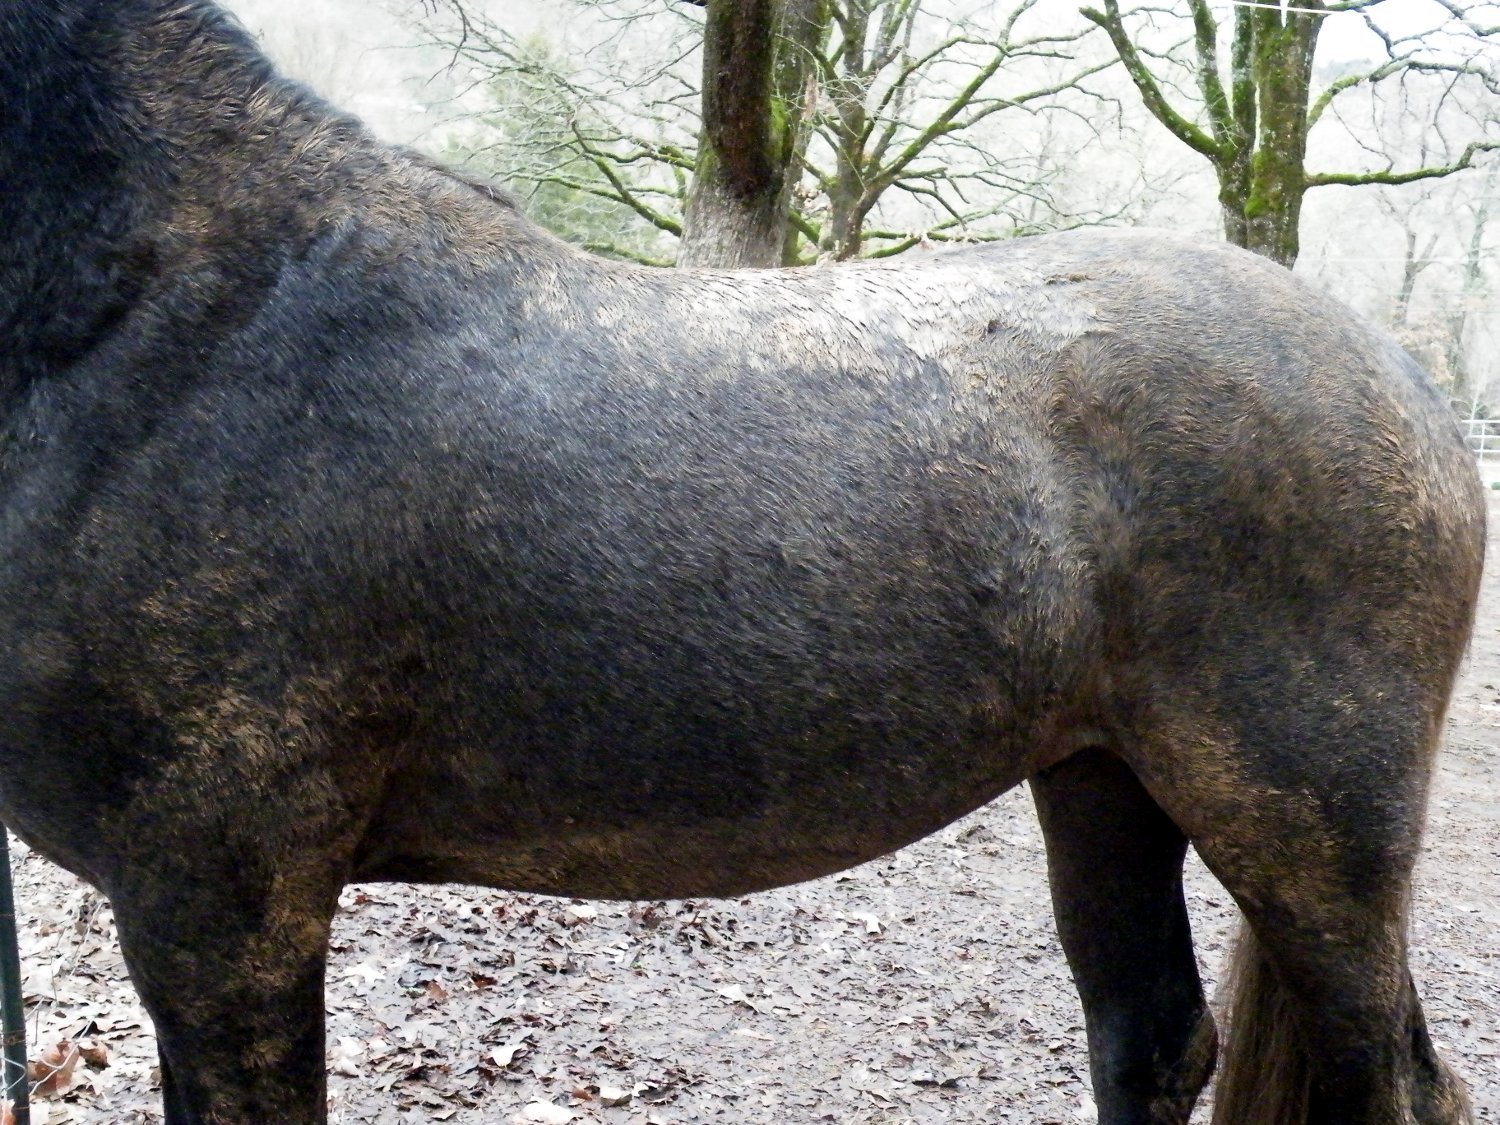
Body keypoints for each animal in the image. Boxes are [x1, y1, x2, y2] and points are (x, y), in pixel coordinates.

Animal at [0, 2, 1484, 1122]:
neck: (179, 322)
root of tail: (1407, 378)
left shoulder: (222, 903)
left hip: (1310, 828)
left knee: (1396, 1085)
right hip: (1107, 781)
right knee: (1154, 1045)